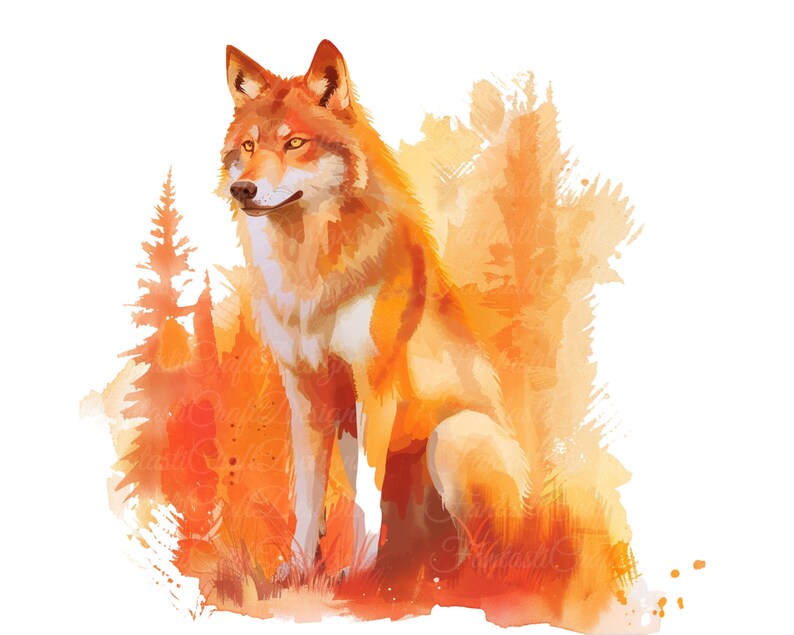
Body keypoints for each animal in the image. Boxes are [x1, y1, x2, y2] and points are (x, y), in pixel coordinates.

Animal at [217, 40, 529, 582]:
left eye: (295, 143)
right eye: (250, 147)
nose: (243, 191)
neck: (310, 268)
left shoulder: (374, 383)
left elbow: (365, 492)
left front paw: (355, 576)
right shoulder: (306, 393)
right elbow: (307, 498)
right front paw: (298, 570)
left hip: (452, 437)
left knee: (490, 556)